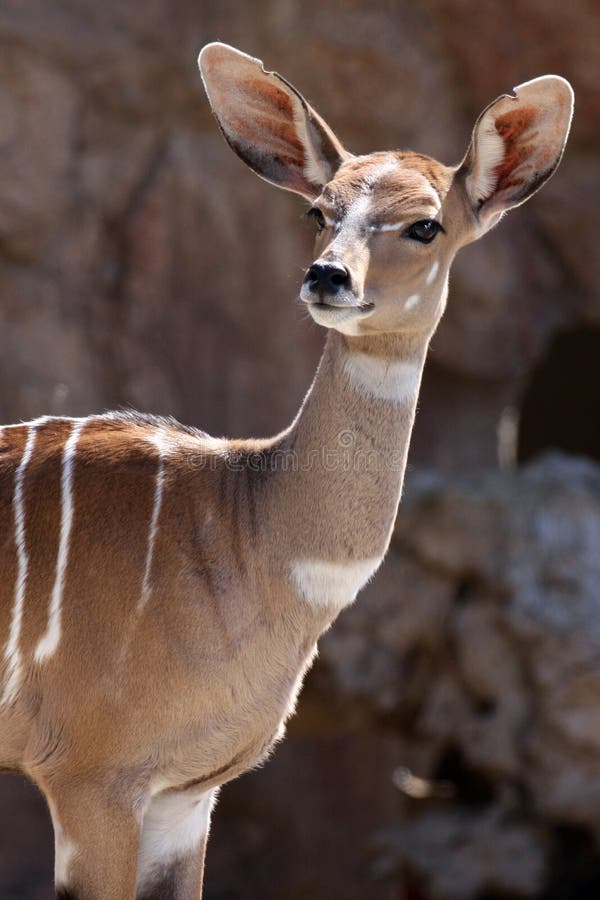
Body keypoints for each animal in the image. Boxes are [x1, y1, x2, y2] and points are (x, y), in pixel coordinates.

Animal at [0, 41, 572, 900]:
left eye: (425, 223)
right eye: (319, 212)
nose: (328, 277)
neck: (248, 531)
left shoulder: (183, 796)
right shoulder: (90, 779)